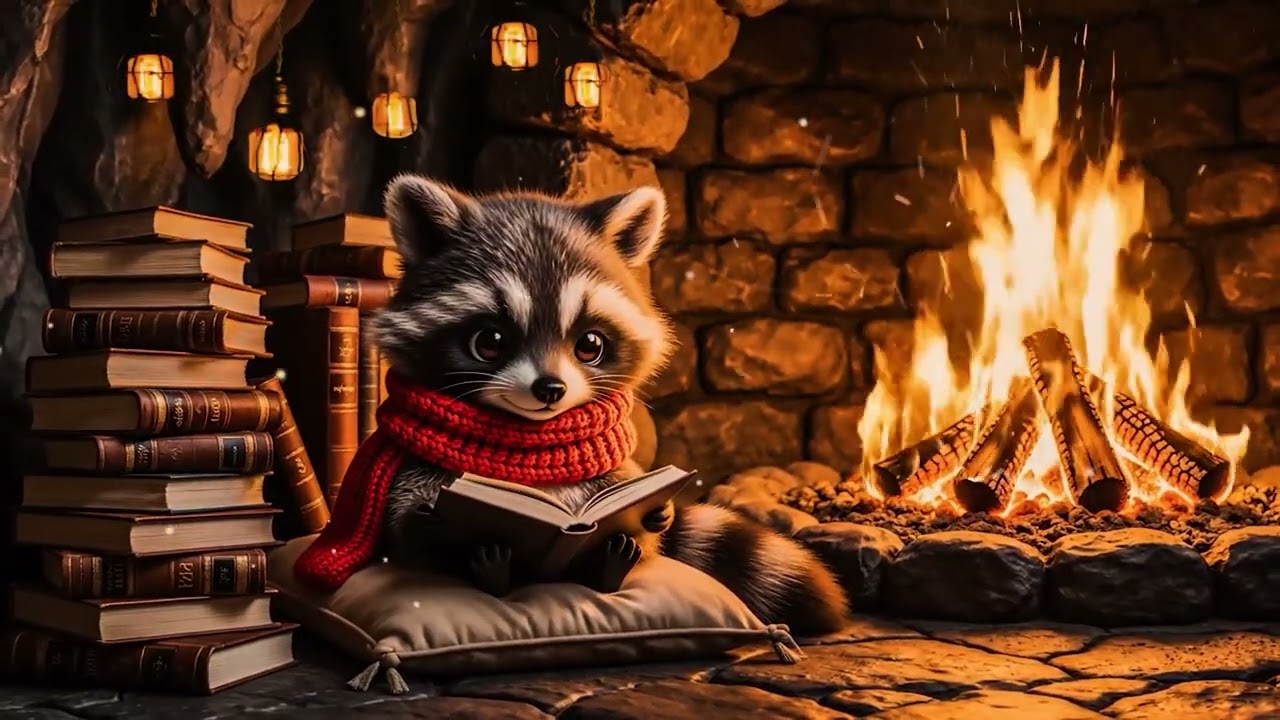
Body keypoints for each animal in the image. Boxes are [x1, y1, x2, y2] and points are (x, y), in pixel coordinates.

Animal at [371, 174, 849, 636]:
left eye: (590, 345)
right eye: (490, 341)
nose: (550, 389)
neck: (532, 441)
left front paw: (657, 513)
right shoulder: (418, 474)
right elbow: (405, 519)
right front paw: (428, 520)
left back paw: (611, 563)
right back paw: (493, 568)